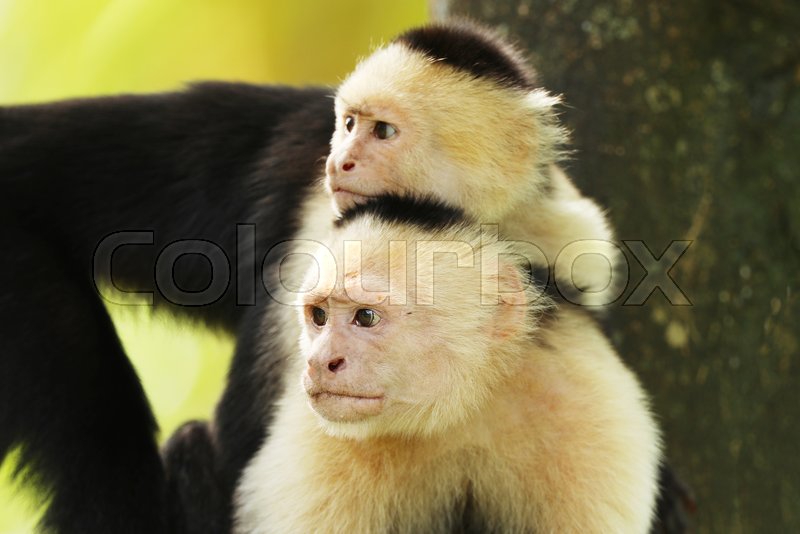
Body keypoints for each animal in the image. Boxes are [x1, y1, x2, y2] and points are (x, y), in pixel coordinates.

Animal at [232, 194, 662, 534]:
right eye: (319, 316)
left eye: (365, 317)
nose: (321, 361)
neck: (465, 402)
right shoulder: (319, 443)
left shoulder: (587, 409)